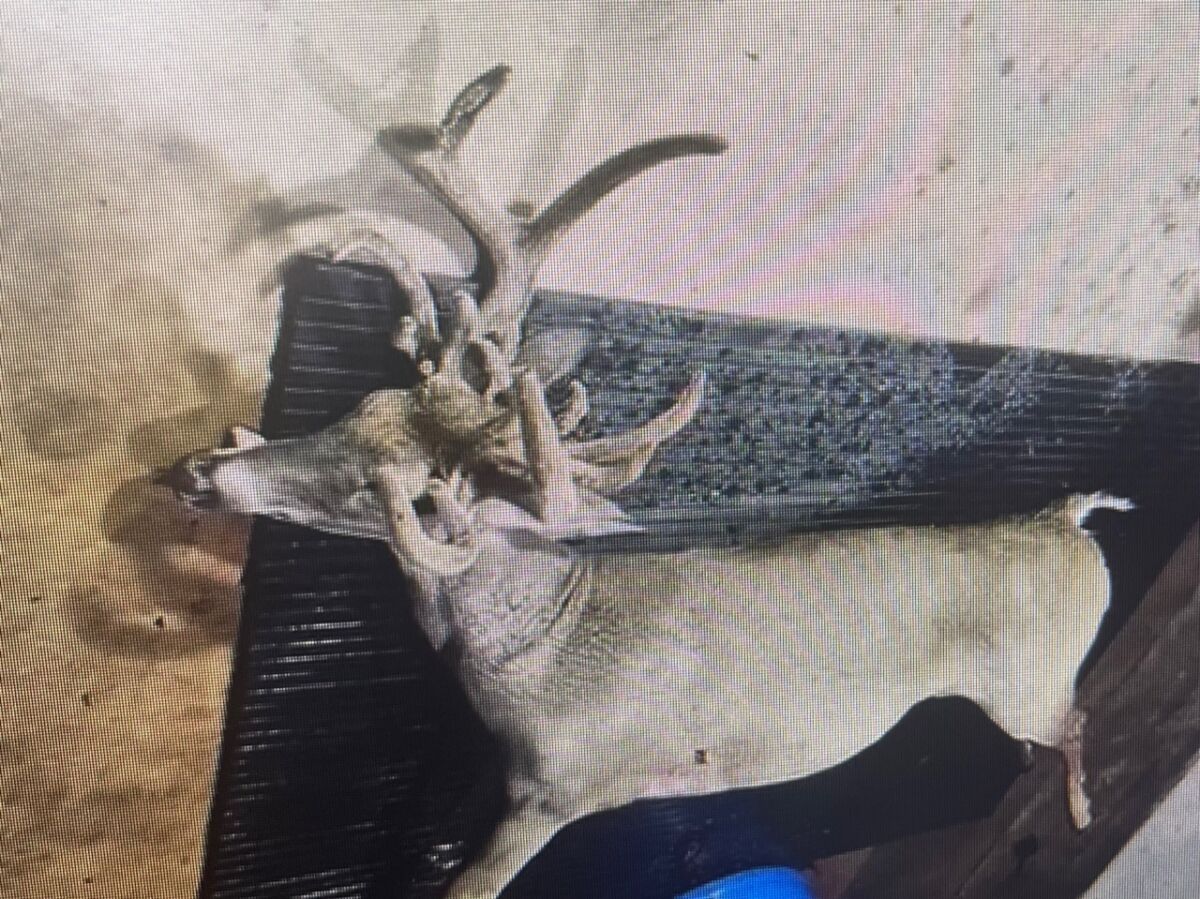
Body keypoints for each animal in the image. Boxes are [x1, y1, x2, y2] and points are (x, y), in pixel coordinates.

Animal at [161, 66, 1128, 898]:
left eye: (396, 490)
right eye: (360, 405)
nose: (195, 469)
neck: (542, 640)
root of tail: (1070, 518)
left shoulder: (560, 786)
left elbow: (466, 887)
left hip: (1030, 682)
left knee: (1073, 723)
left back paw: (1079, 809)